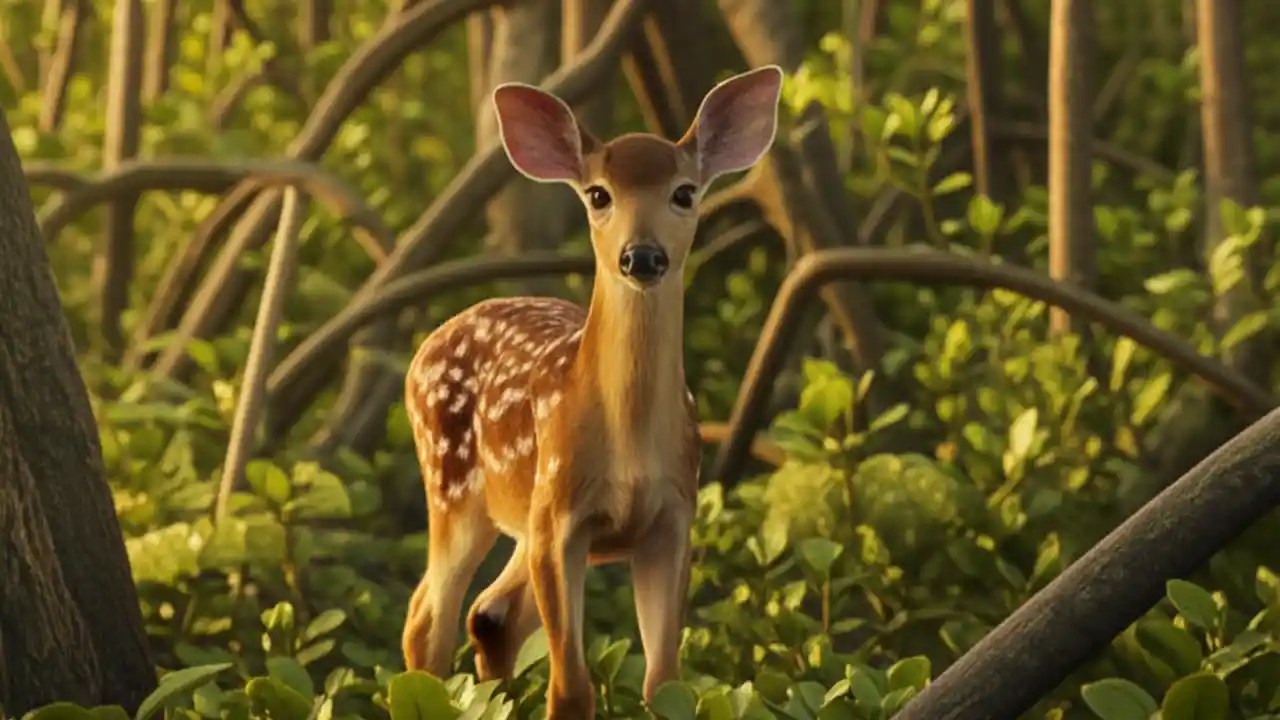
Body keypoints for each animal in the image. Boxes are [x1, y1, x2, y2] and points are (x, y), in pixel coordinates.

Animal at [399, 64, 783, 718]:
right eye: (599, 194)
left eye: (685, 192)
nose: (642, 256)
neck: (629, 447)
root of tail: (425, 349)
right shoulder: (560, 518)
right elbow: (571, 689)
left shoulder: (673, 516)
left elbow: (665, 680)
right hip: (455, 487)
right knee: (428, 617)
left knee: (489, 614)